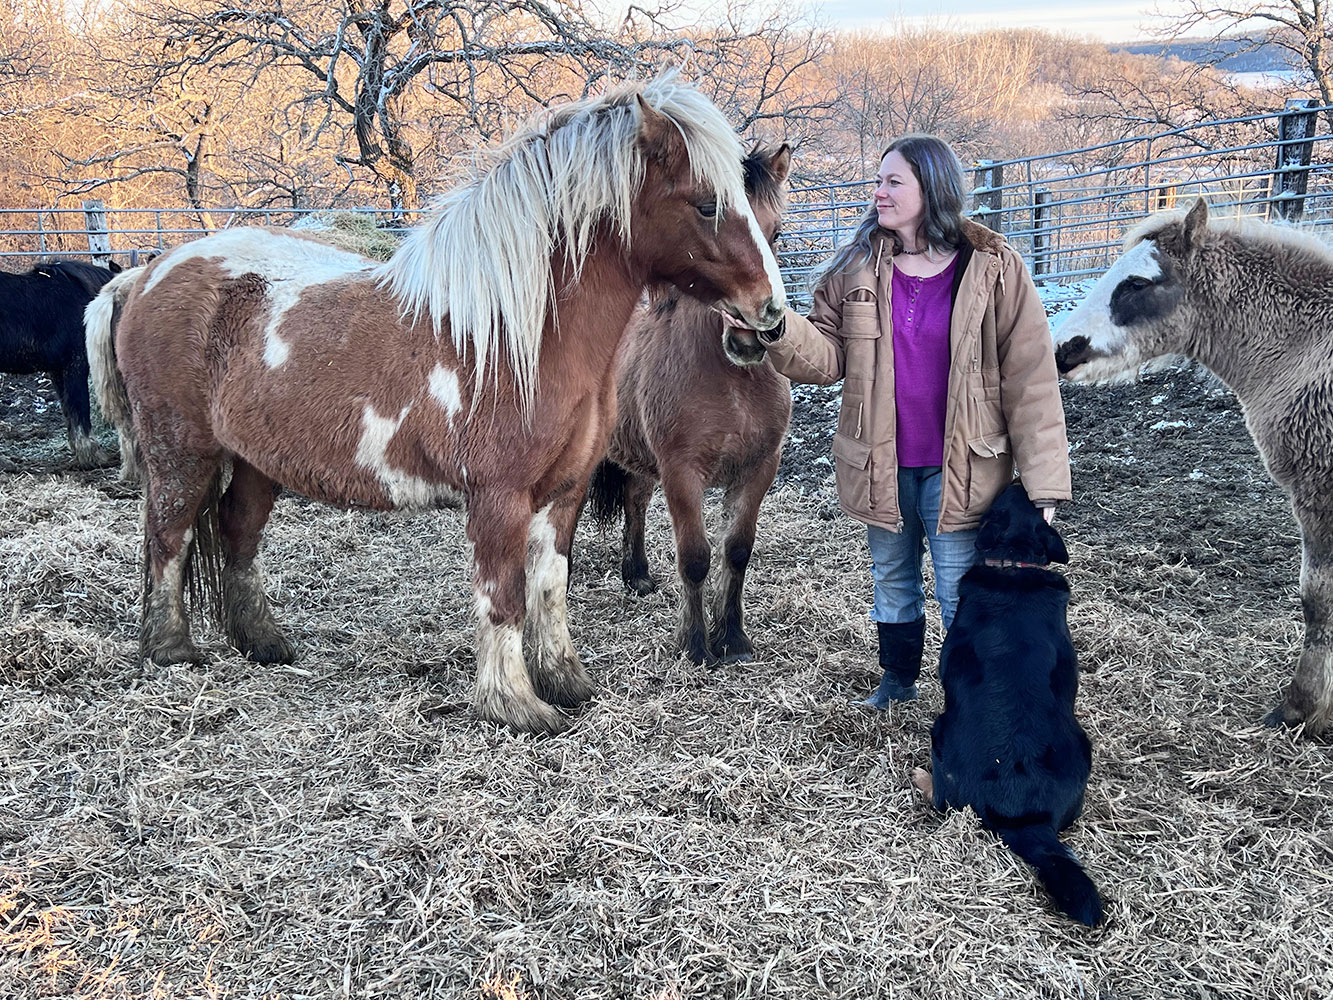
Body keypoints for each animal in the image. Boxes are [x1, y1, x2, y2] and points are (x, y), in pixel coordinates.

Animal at [586, 144, 792, 665]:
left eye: (777, 232)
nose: (753, 335)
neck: (732, 382)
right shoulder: (682, 473)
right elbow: (696, 557)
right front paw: (696, 644)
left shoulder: (759, 468)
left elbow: (737, 550)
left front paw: (733, 637)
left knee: (635, 502)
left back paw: (637, 575)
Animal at [1053, 197, 1333, 735]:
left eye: (1136, 284)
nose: (1063, 347)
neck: (1308, 350)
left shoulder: (1319, 493)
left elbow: (1317, 600)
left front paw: (1300, 708)